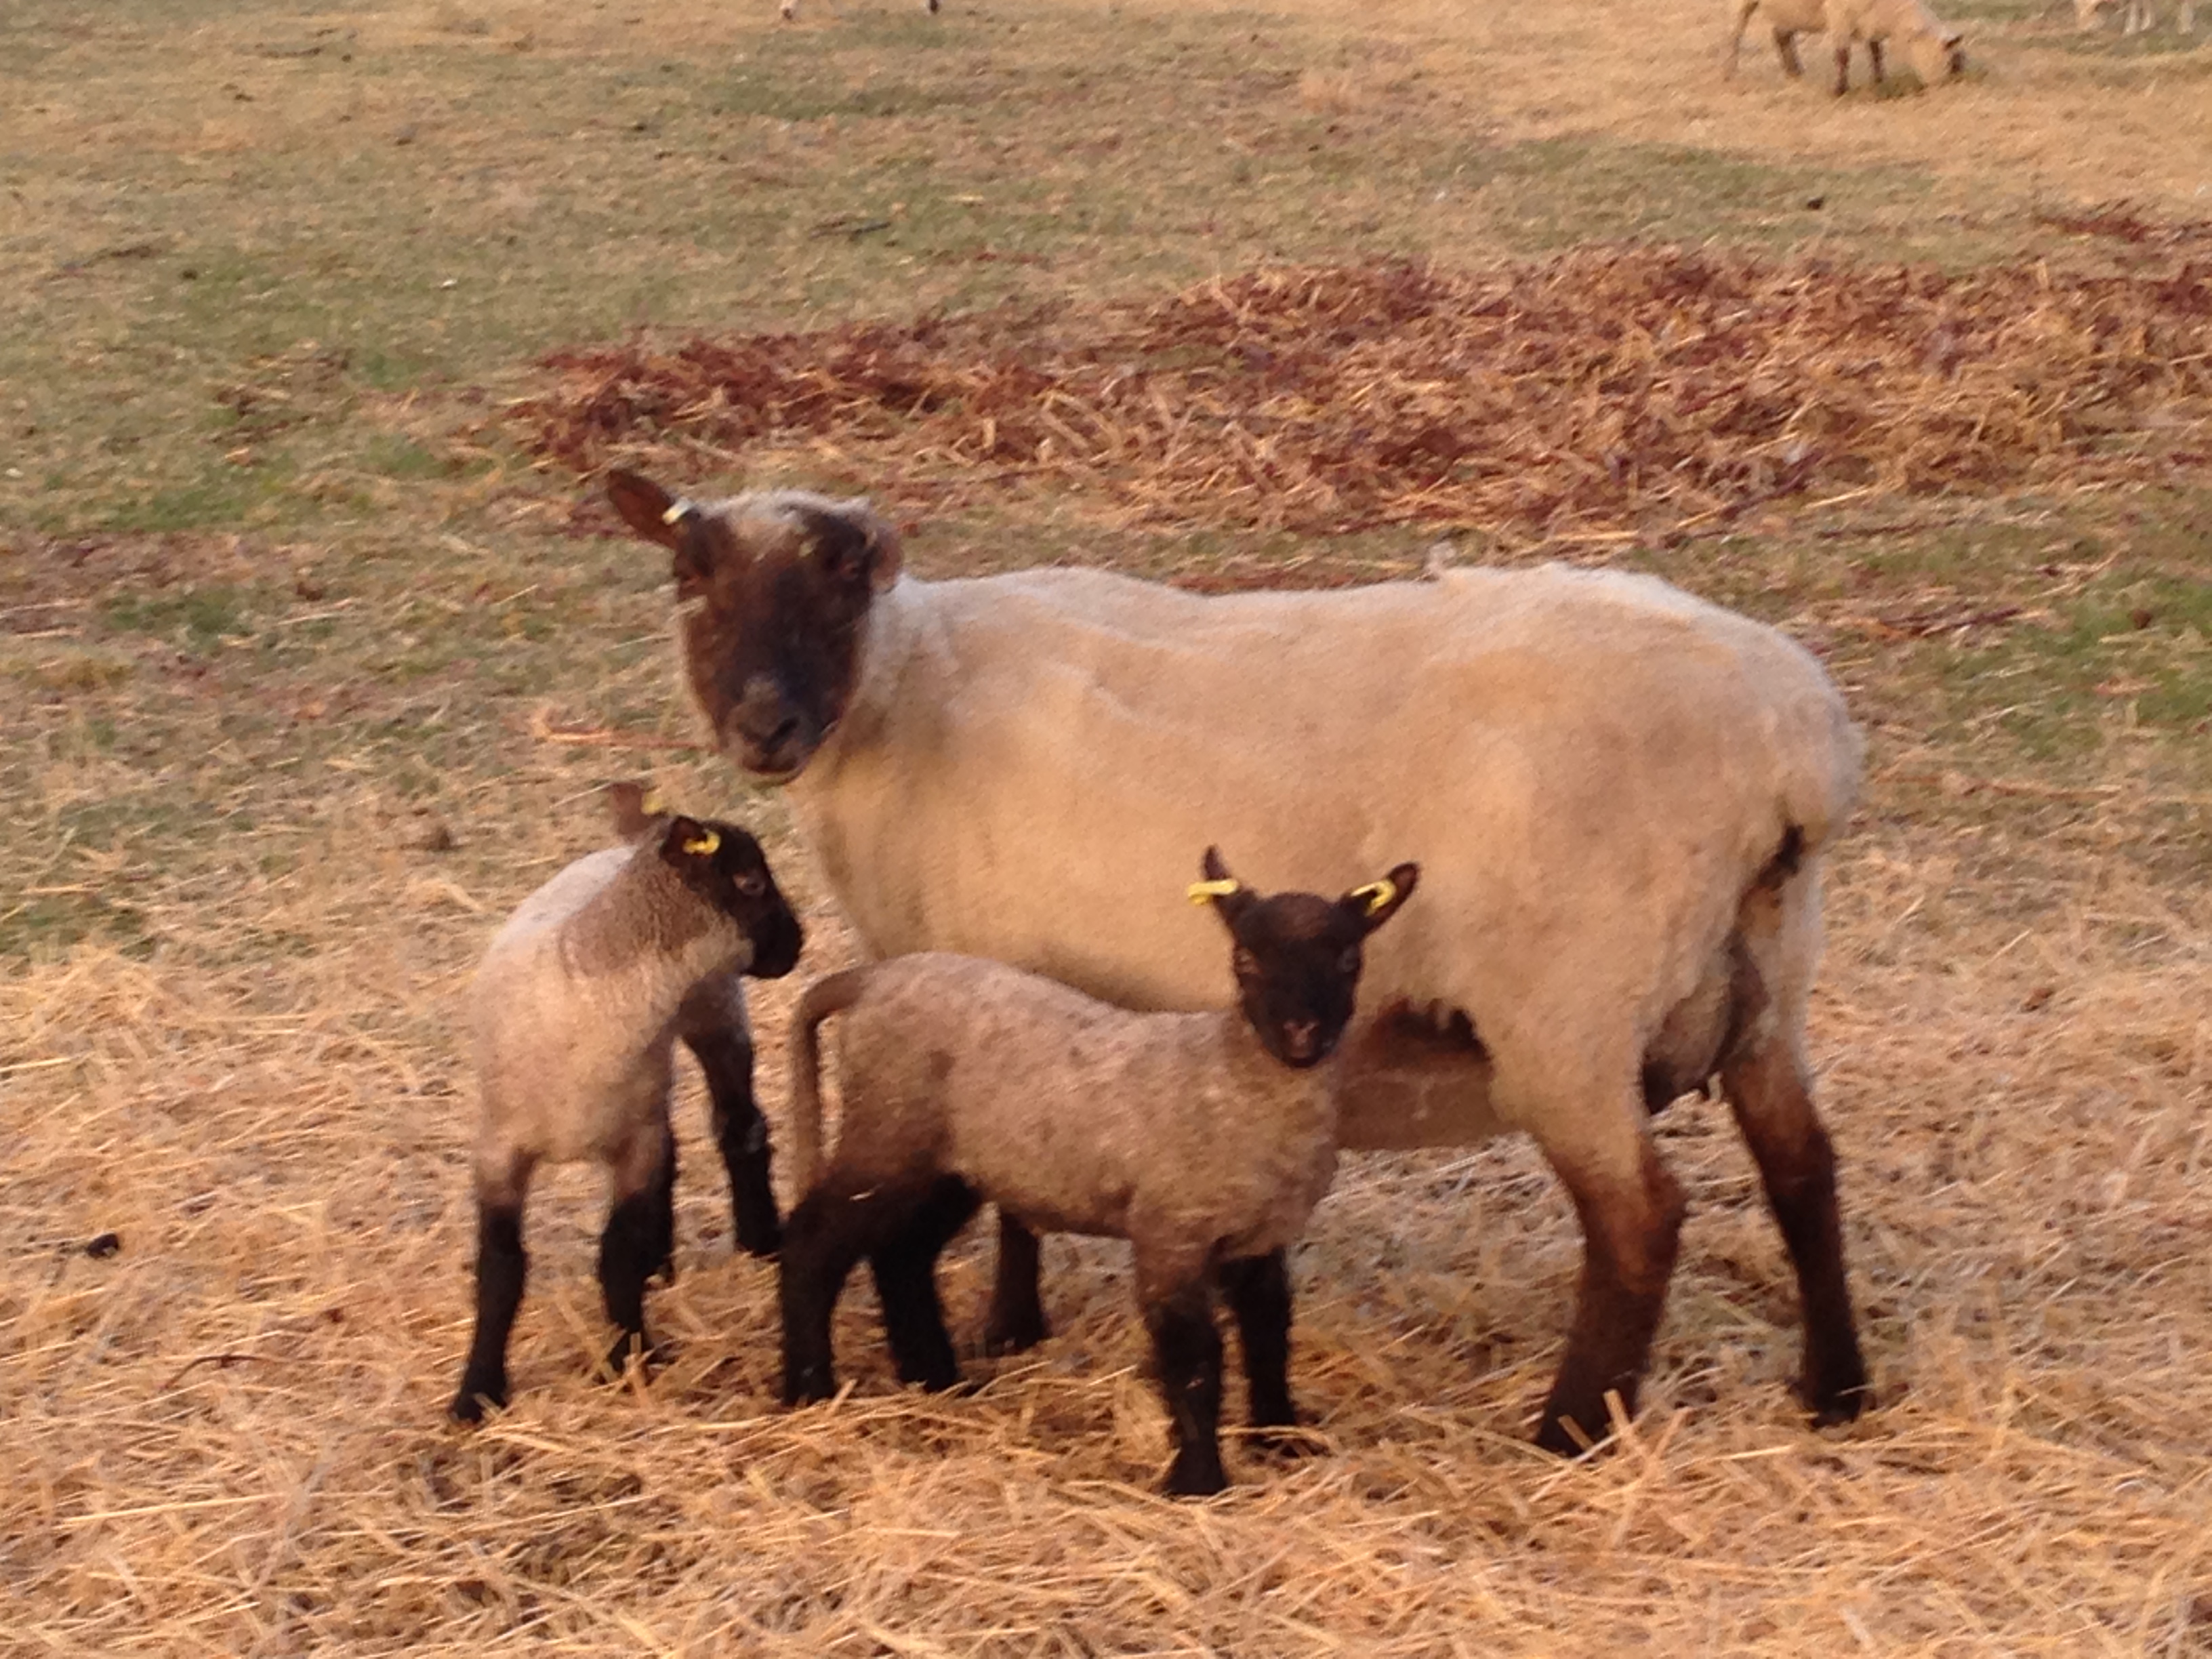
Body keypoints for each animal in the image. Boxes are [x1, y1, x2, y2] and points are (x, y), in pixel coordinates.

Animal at [448, 784, 804, 1423]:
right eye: (750, 882)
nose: (798, 945)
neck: (590, 983)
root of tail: (620, 846)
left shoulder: (632, 1145)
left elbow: (614, 1254)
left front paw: (626, 1358)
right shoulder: (499, 1153)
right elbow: (500, 1270)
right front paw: (478, 1391)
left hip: (714, 1014)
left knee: (740, 1124)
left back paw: (759, 1237)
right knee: (678, 1145)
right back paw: (660, 1260)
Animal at [779, 849, 1419, 1496]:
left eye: (1349, 960)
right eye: (1246, 959)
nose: (1302, 1034)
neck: (1237, 1076)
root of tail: (867, 982)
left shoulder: (1259, 1239)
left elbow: (1268, 1333)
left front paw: (1280, 1437)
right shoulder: (1170, 1233)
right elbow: (1194, 1357)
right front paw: (1198, 1480)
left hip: (950, 1163)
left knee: (902, 1254)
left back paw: (936, 1379)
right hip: (887, 1133)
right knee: (813, 1241)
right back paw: (810, 1391)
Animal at [1726, 0, 1965, 91]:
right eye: (1952, 62)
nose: (1947, 90)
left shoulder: (1870, 23)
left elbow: (1876, 52)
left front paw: (1879, 80)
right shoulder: (1839, 14)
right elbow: (1842, 55)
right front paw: (1839, 90)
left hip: (1790, 11)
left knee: (1780, 35)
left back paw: (1795, 72)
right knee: (1735, 32)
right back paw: (1729, 71)